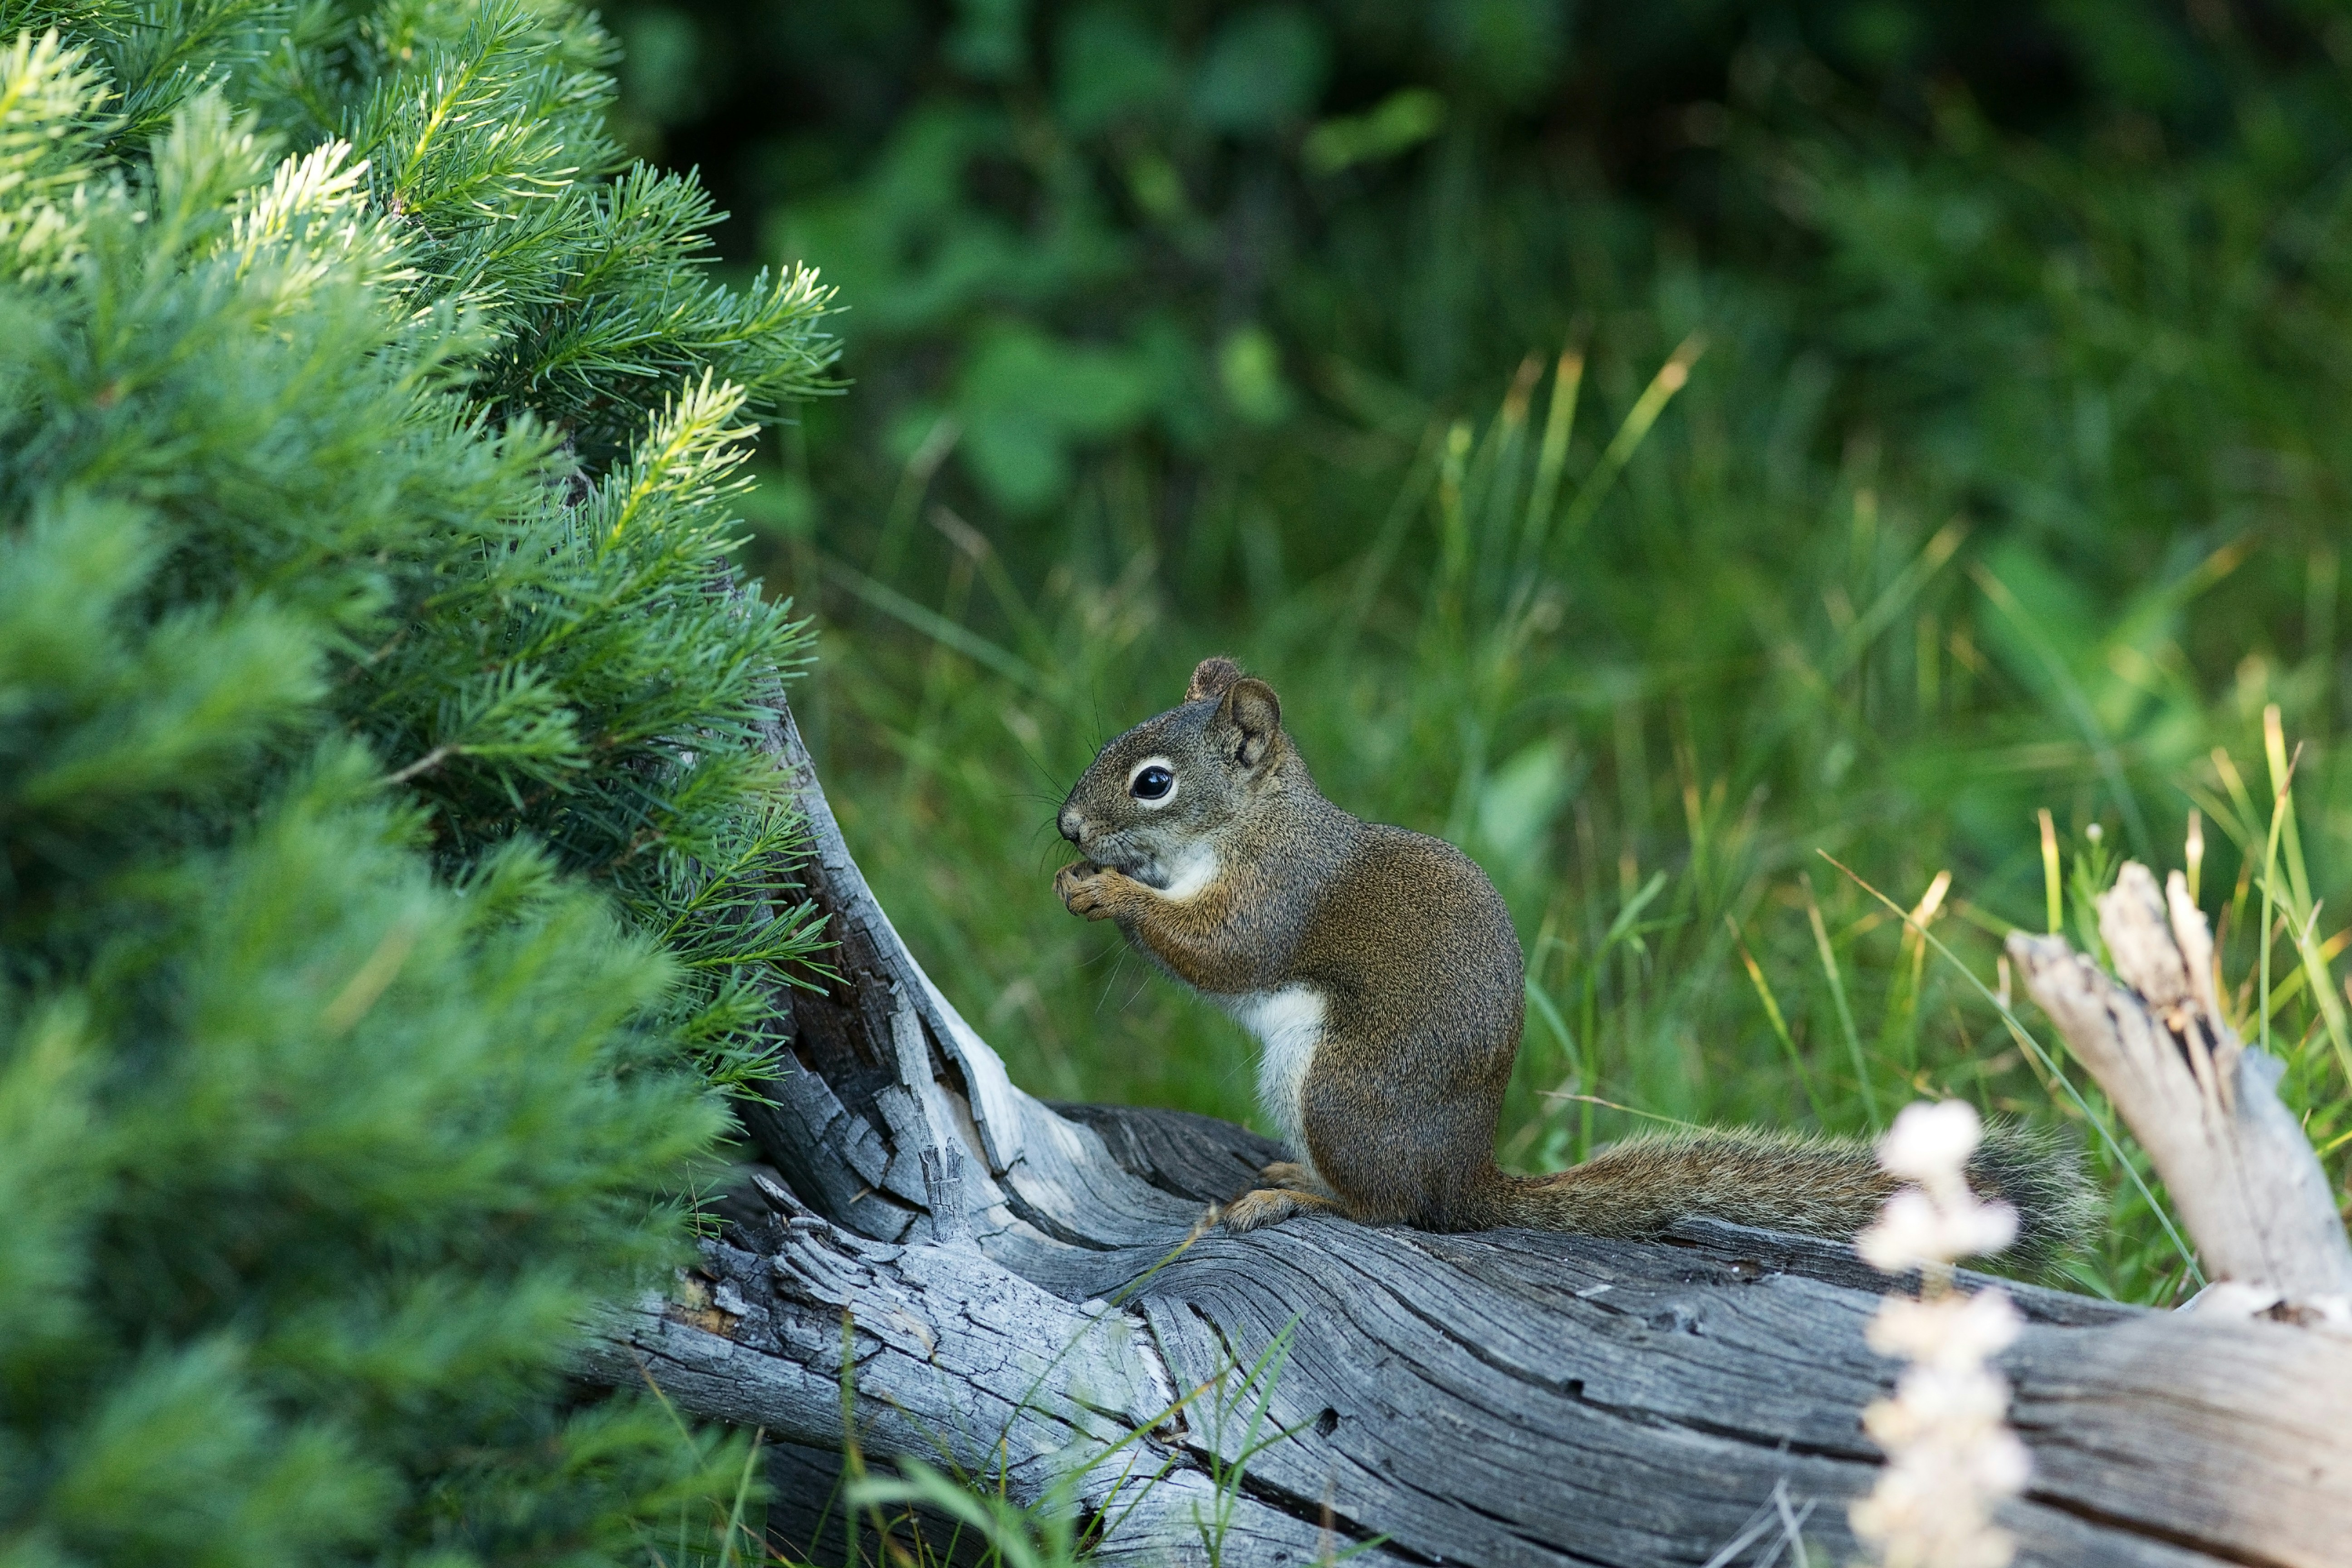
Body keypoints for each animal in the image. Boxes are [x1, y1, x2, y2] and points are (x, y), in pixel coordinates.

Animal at [1055, 656, 2094, 1256]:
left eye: (1153, 783)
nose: (1066, 827)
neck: (1249, 824)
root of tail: (1465, 1177)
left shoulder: (1281, 893)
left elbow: (1223, 954)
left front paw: (1108, 892)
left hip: (1342, 1091)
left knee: (1392, 1210)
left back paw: (1303, 1198)